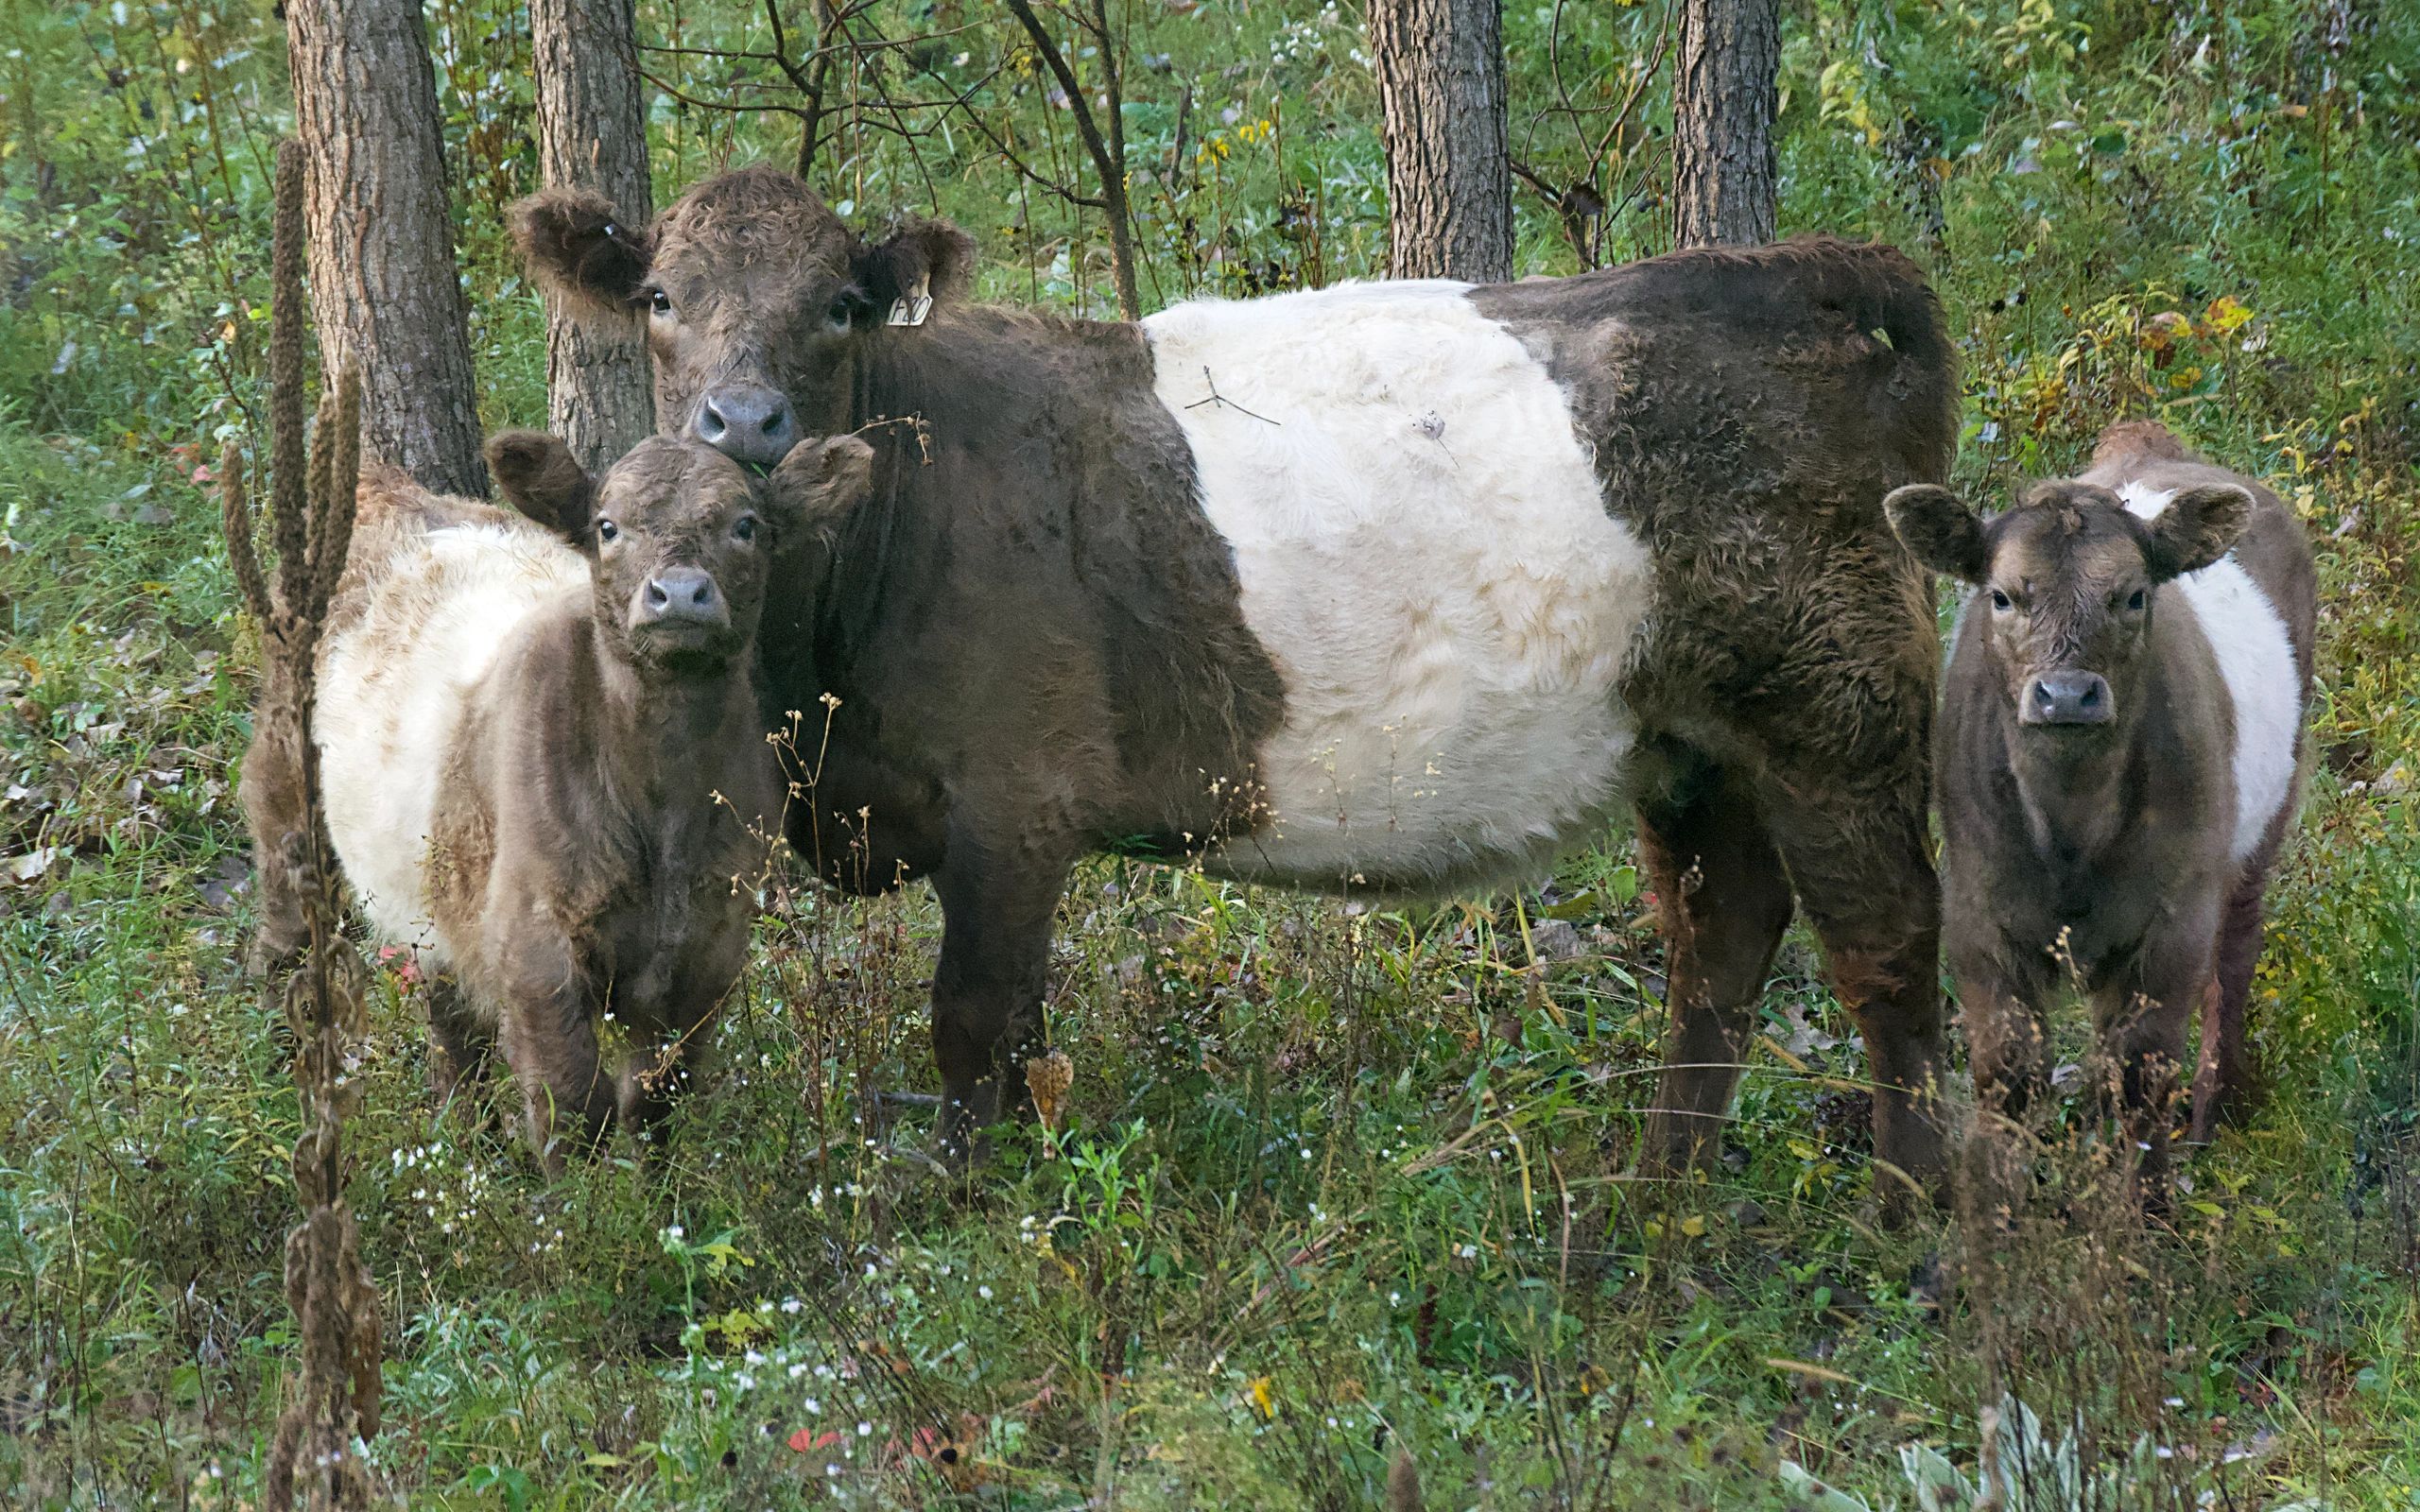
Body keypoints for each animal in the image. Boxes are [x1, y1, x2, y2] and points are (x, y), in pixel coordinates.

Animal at [309, 428, 874, 1170]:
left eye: (745, 525)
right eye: (608, 527)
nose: (679, 593)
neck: (662, 810)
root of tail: (398, 491)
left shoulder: (710, 944)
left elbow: (656, 1098)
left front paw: (663, 1193)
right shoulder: (533, 947)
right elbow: (573, 1106)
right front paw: (580, 1201)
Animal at [512, 166, 1963, 1193]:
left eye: (838, 305)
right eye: (661, 300)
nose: (743, 423)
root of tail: (1806, 271)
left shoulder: (1013, 806)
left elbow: (976, 1028)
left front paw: (970, 1226)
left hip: (1836, 712)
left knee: (1886, 950)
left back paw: (1915, 1223)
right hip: (1690, 738)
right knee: (1718, 943)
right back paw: (1661, 1199)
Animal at [1885, 420, 2316, 1194]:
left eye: (2135, 596)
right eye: (2002, 597)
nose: (2066, 695)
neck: (2071, 825)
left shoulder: (2172, 923)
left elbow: (2142, 1075)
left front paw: (2147, 1209)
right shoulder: (1978, 918)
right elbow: (2008, 1077)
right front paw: (1995, 1212)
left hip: (2261, 828)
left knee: (2234, 957)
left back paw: (2213, 1110)